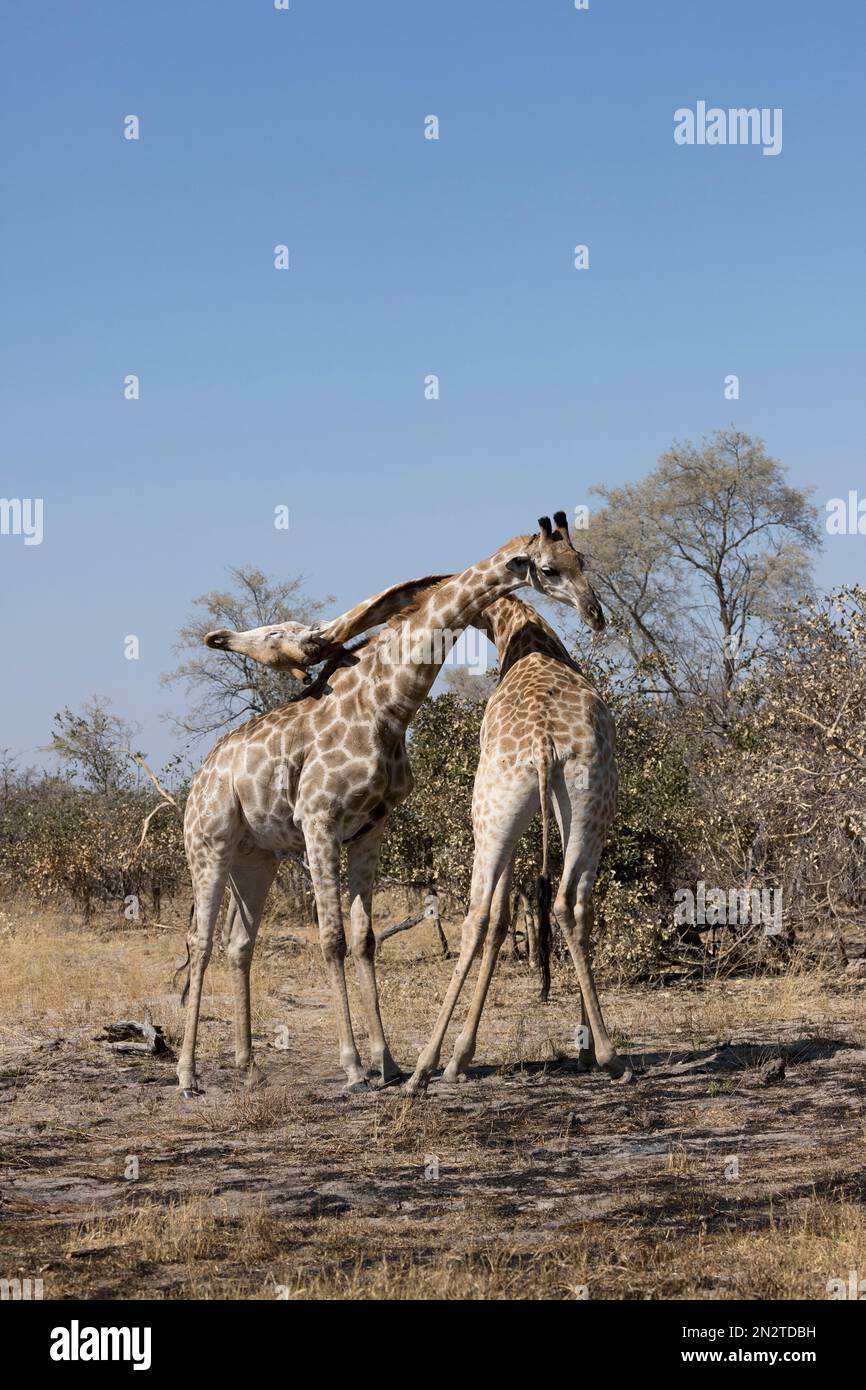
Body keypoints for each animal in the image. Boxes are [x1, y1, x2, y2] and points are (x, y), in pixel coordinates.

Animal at [177, 515, 604, 1097]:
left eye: (581, 560)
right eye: (548, 568)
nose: (595, 613)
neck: (386, 704)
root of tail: (198, 779)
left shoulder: (369, 829)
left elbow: (365, 940)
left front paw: (389, 1063)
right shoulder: (318, 821)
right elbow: (332, 939)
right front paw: (354, 1066)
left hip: (255, 856)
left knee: (239, 942)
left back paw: (248, 1066)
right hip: (210, 844)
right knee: (199, 941)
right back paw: (187, 1073)